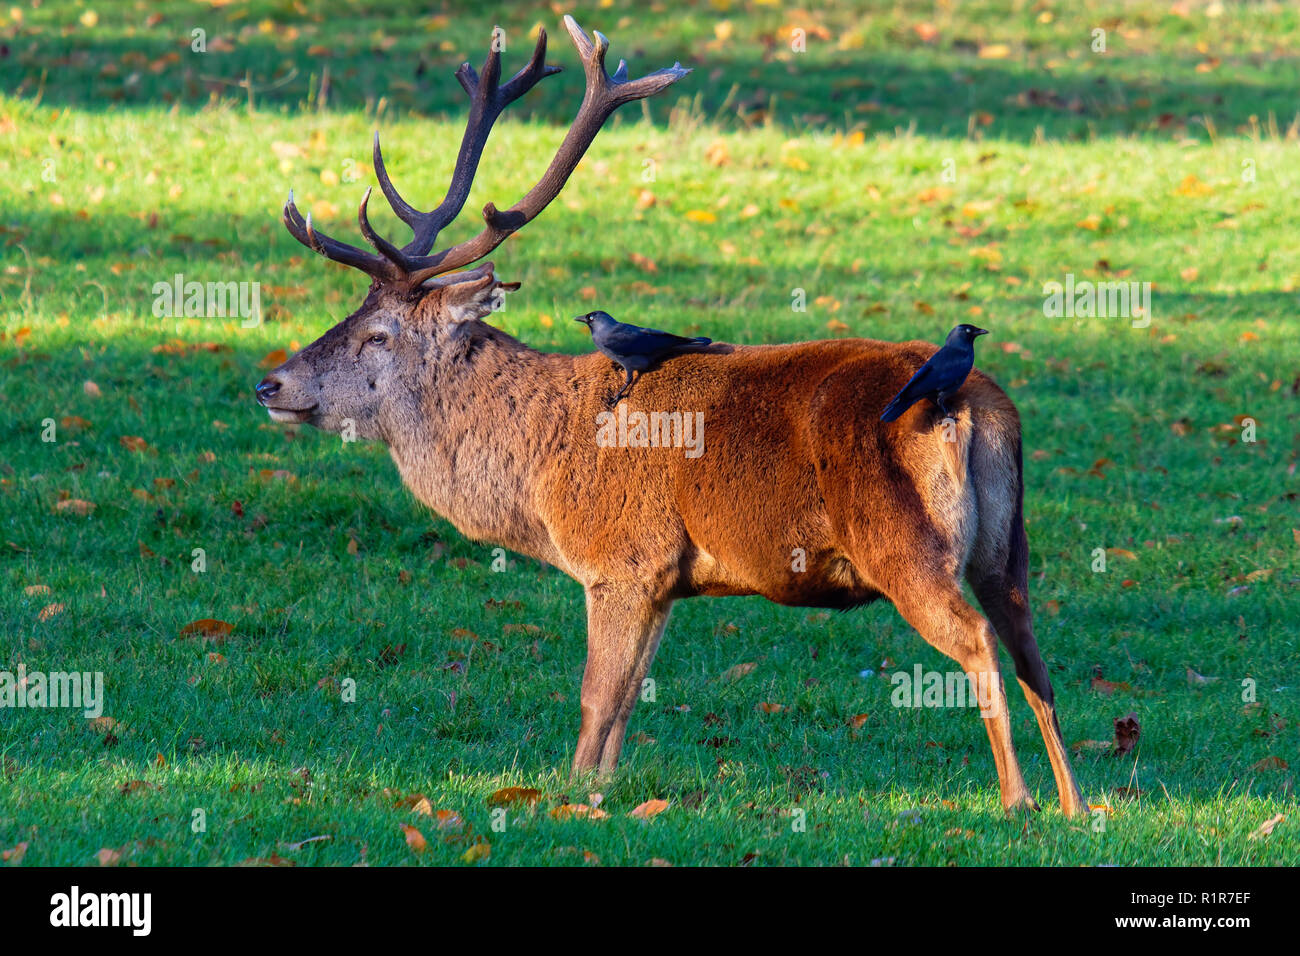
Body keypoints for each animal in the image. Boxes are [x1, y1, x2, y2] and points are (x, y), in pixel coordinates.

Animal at [255, 17, 1086, 818]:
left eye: (376, 334)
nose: (270, 383)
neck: (538, 478)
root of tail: (973, 400)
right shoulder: (664, 580)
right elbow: (626, 707)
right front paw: (604, 790)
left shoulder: (621, 557)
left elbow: (596, 699)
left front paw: (569, 799)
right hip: (1005, 548)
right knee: (1034, 653)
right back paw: (1074, 804)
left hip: (903, 541)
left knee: (978, 643)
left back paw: (1015, 800)